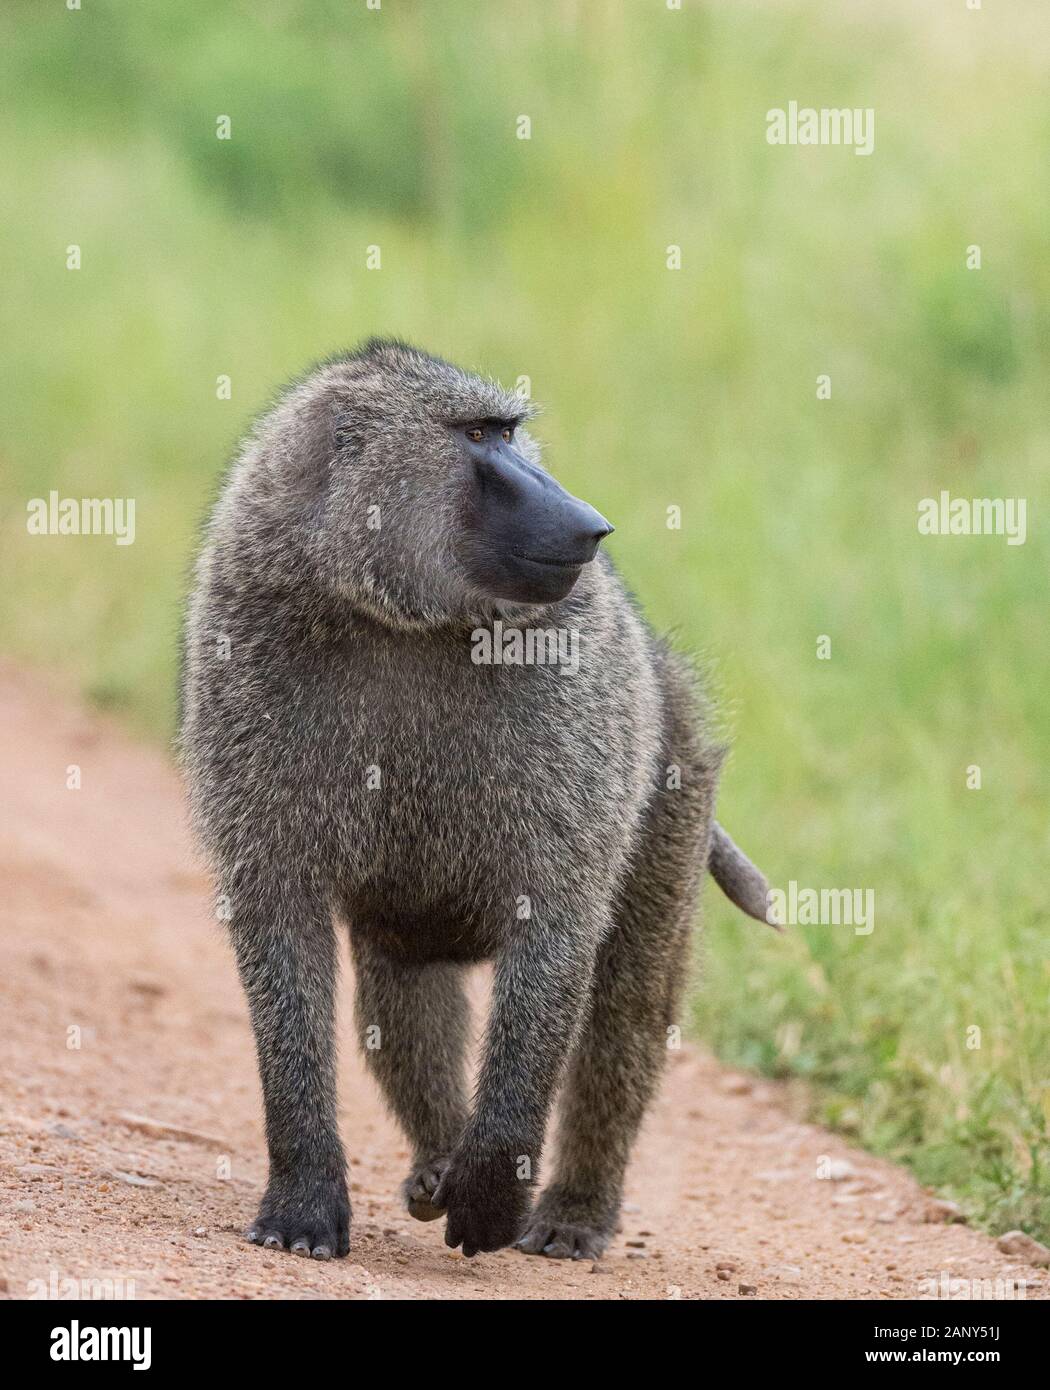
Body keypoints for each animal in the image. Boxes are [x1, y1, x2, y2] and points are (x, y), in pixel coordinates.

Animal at [178, 339, 773, 1262]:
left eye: (509, 432)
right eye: (477, 435)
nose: (590, 524)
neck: (396, 621)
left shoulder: (566, 688)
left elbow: (556, 928)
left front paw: (494, 1189)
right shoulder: (243, 654)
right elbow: (282, 929)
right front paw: (305, 1200)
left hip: (679, 780)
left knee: (628, 1002)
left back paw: (572, 1207)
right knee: (405, 980)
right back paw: (437, 1160)